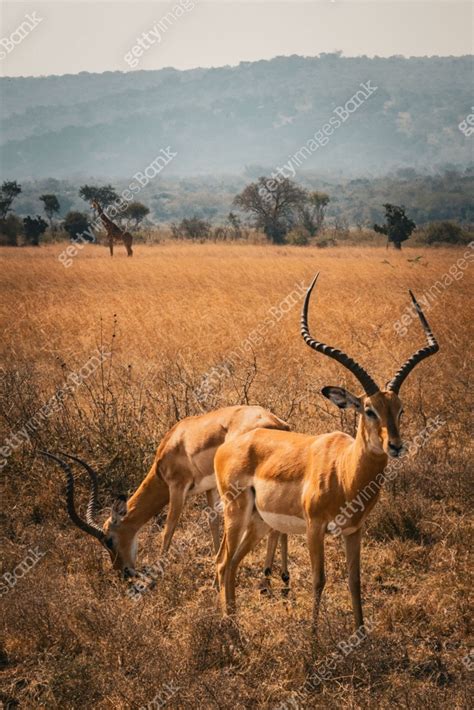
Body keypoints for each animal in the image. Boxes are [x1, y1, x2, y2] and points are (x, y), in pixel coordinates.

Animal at [41, 405, 290, 588]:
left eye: (109, 540)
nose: (124, 572)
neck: (175, 440)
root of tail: (277, 423)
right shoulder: (209, 489)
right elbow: (214, 525)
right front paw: (214, 581)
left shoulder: (177, 488)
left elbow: (168, 529)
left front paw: (155, 581)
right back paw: (278, 581)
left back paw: (270, 582)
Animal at [215, 275, 439, 632]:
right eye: (368, 409)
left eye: (400, 410)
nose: (396, 445)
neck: (344, 472)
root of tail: (231, 444)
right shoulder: (314, 528)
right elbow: (319, 579)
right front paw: (313, 635)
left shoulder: (354, 531)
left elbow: (355, 581)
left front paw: (360, 633)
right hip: (235, 513)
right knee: (223, 562)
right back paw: (228, 626)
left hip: (259, 522)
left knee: (233, 564)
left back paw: (233, 620)